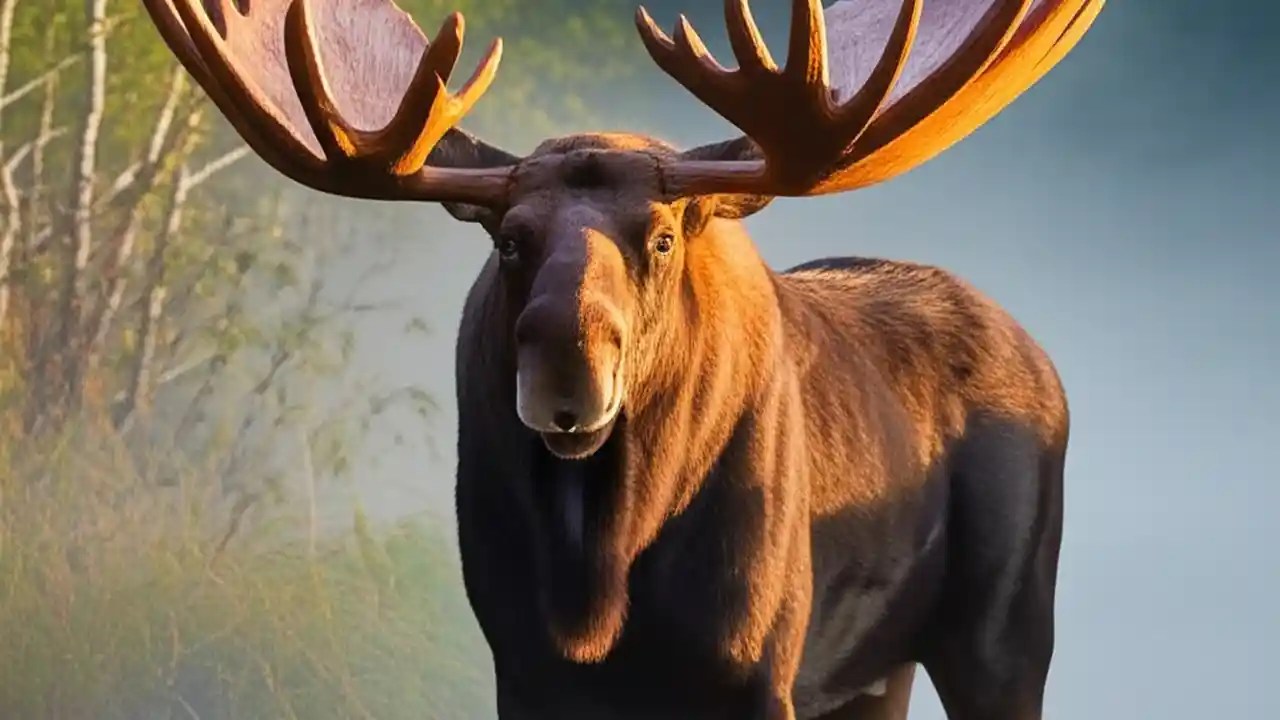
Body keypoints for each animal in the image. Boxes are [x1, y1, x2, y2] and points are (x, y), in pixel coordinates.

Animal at [140, 0, 1105, 717]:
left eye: (664, 236)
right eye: (510, 240)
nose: (567, 375)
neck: (599, 575)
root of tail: (1045, 363)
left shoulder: (759, 668)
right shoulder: (524, 670)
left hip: (1004, 632)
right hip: (876, 671)